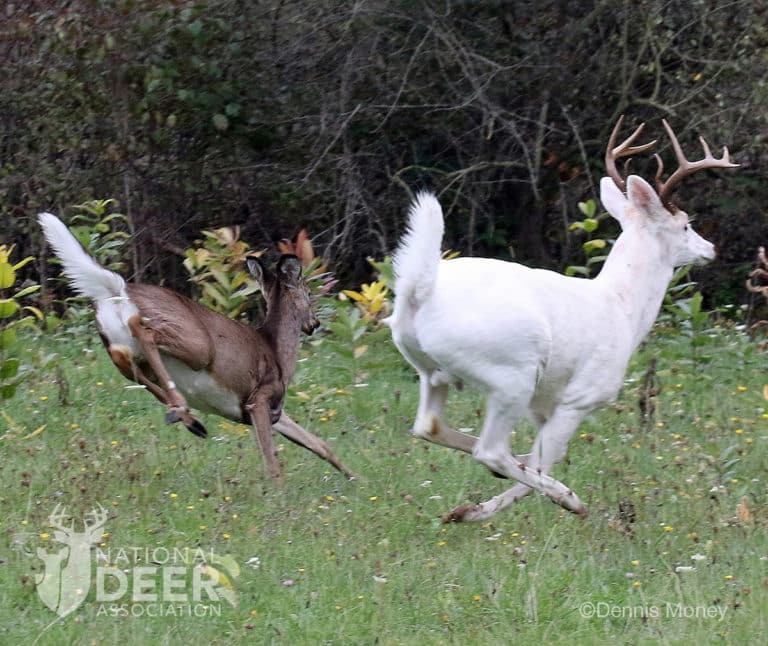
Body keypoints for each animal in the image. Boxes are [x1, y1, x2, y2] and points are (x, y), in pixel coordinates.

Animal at [38, 213, 353, 481]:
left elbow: (320, 444)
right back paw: (181, 408)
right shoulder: (259, 398)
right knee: (144, 330)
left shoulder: (271, 411)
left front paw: (354, 478)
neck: (277, 351)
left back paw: (189, 418)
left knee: (127, 361)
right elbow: (271, 459)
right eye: (309, 293)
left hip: (118, 344)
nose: (314, 323)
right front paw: (278, 494)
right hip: (199, 346)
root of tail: (119, 289)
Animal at [386, 117, 737, 522]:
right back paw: (556, 500)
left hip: (432, 372)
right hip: (512, 374)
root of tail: (419, 291)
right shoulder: (579, 397)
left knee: (429, 426)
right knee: (492, 451)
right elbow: (544, 462)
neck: (623, 307)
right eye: (684, 225)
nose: (710, 249)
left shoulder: (544, 403)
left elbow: (542, 458)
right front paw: (559, 501)